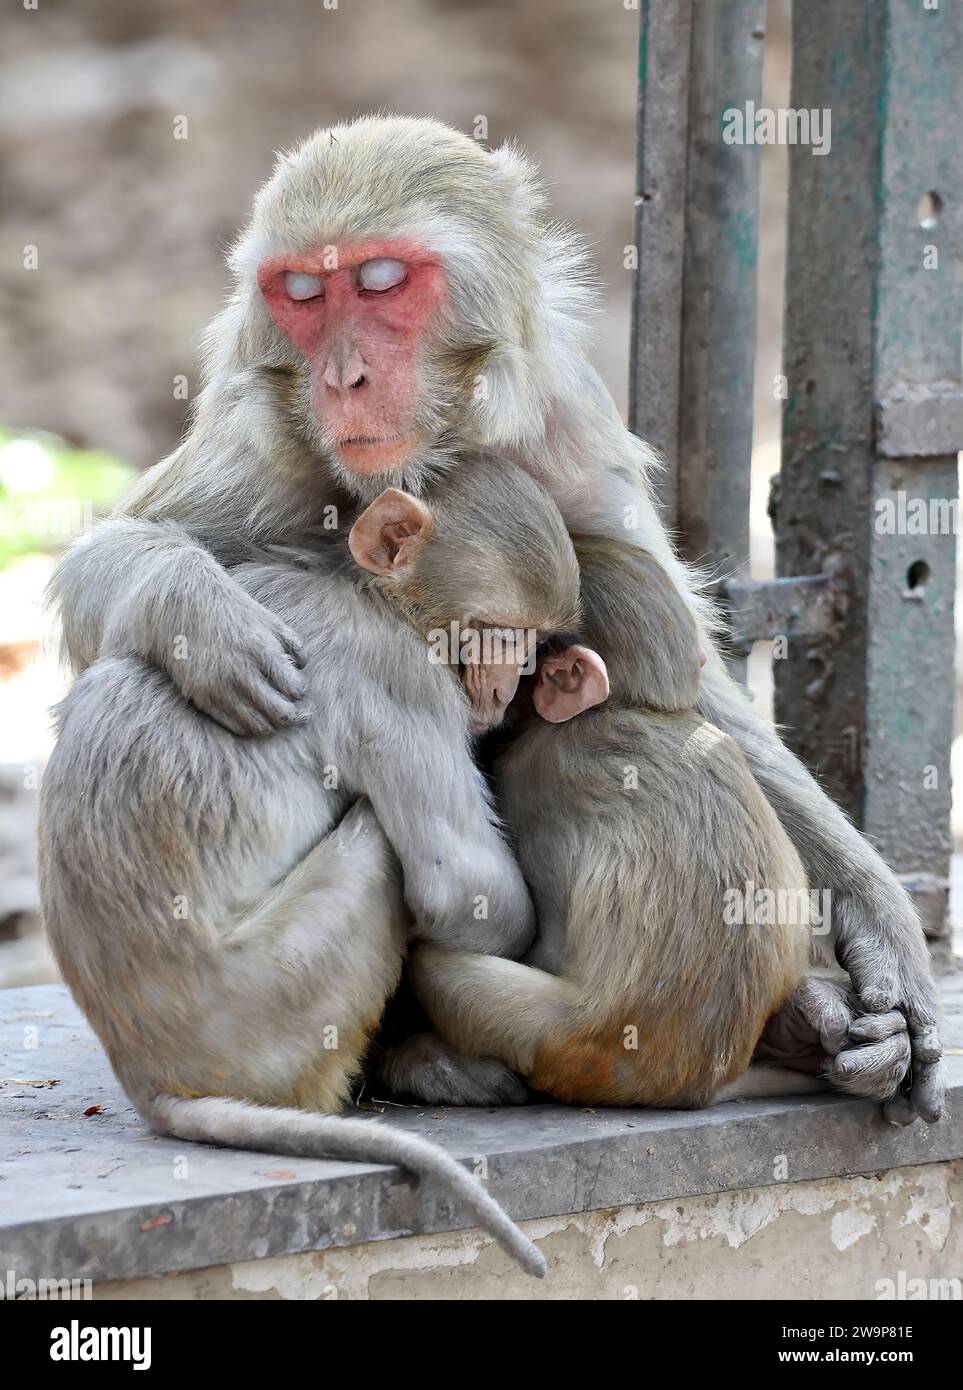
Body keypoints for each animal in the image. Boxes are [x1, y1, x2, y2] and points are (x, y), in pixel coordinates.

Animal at [38, 454, 584, 1280]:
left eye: (533, 639)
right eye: (497, 633)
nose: (506, 682)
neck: (361, 589)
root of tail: (147, 1075)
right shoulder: (396, 671)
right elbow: (465, 892)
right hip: (285, 995)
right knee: (377, 845)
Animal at [46, 115, 942, 1119]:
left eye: (380, 281)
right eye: (303, 294)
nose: (342, 377)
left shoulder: (566, 420)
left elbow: (698, 681)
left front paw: (881, 934)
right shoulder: (264, 435)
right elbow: (106, 561)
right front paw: (201, 614)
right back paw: (421, 1060)